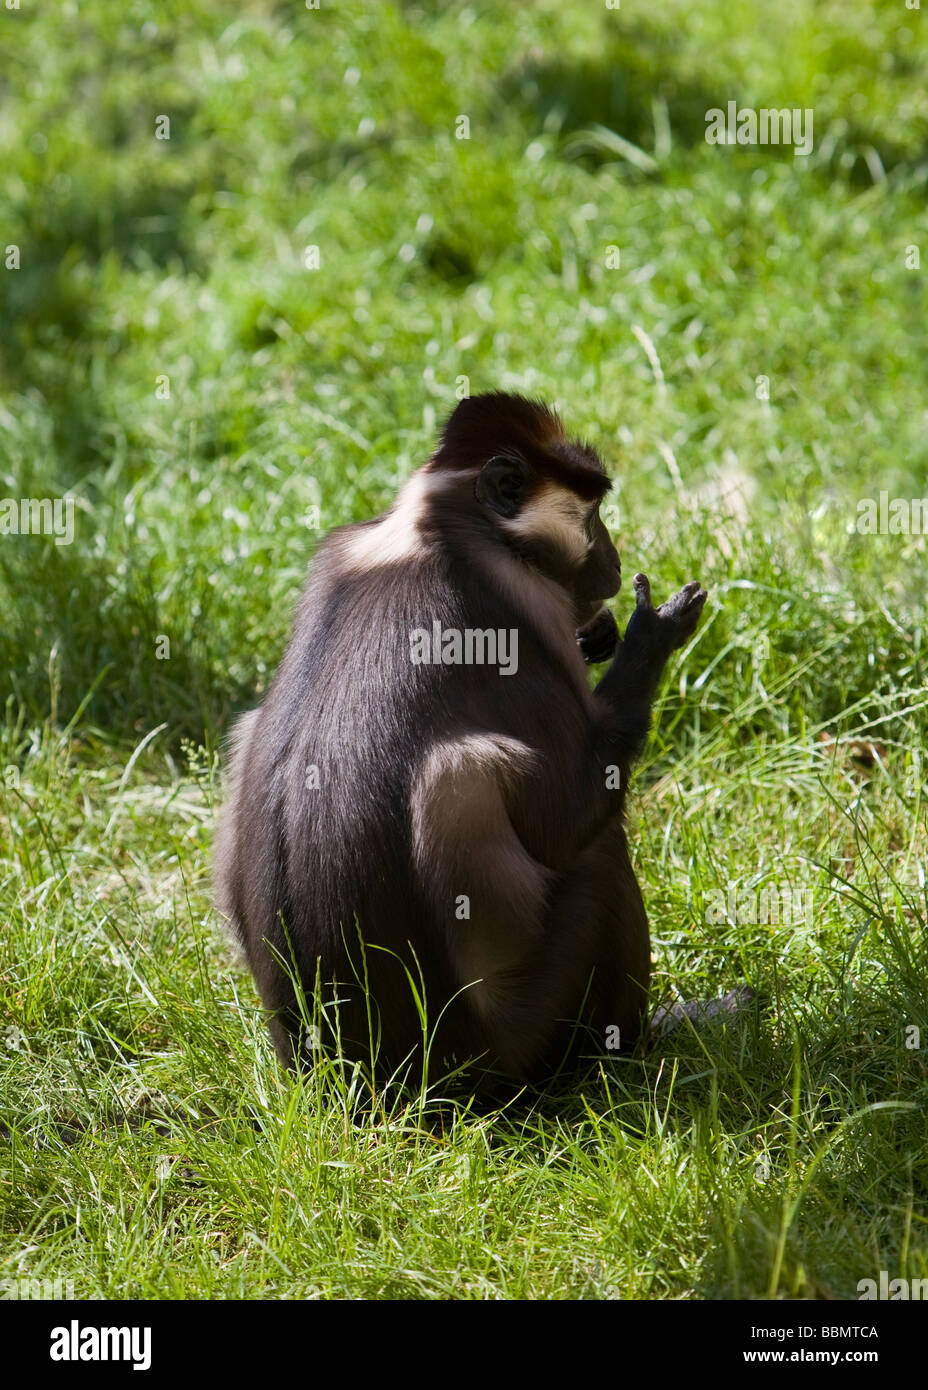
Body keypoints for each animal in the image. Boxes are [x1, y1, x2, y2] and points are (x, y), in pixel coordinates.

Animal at [214, 391, 708, 1085]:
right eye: (594, 517)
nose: (611, 563)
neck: (437, 526)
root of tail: (354, 1073)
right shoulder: (517, 605)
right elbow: (568, 820)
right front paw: (650, 634)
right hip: (524, 1033)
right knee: (596, 852)